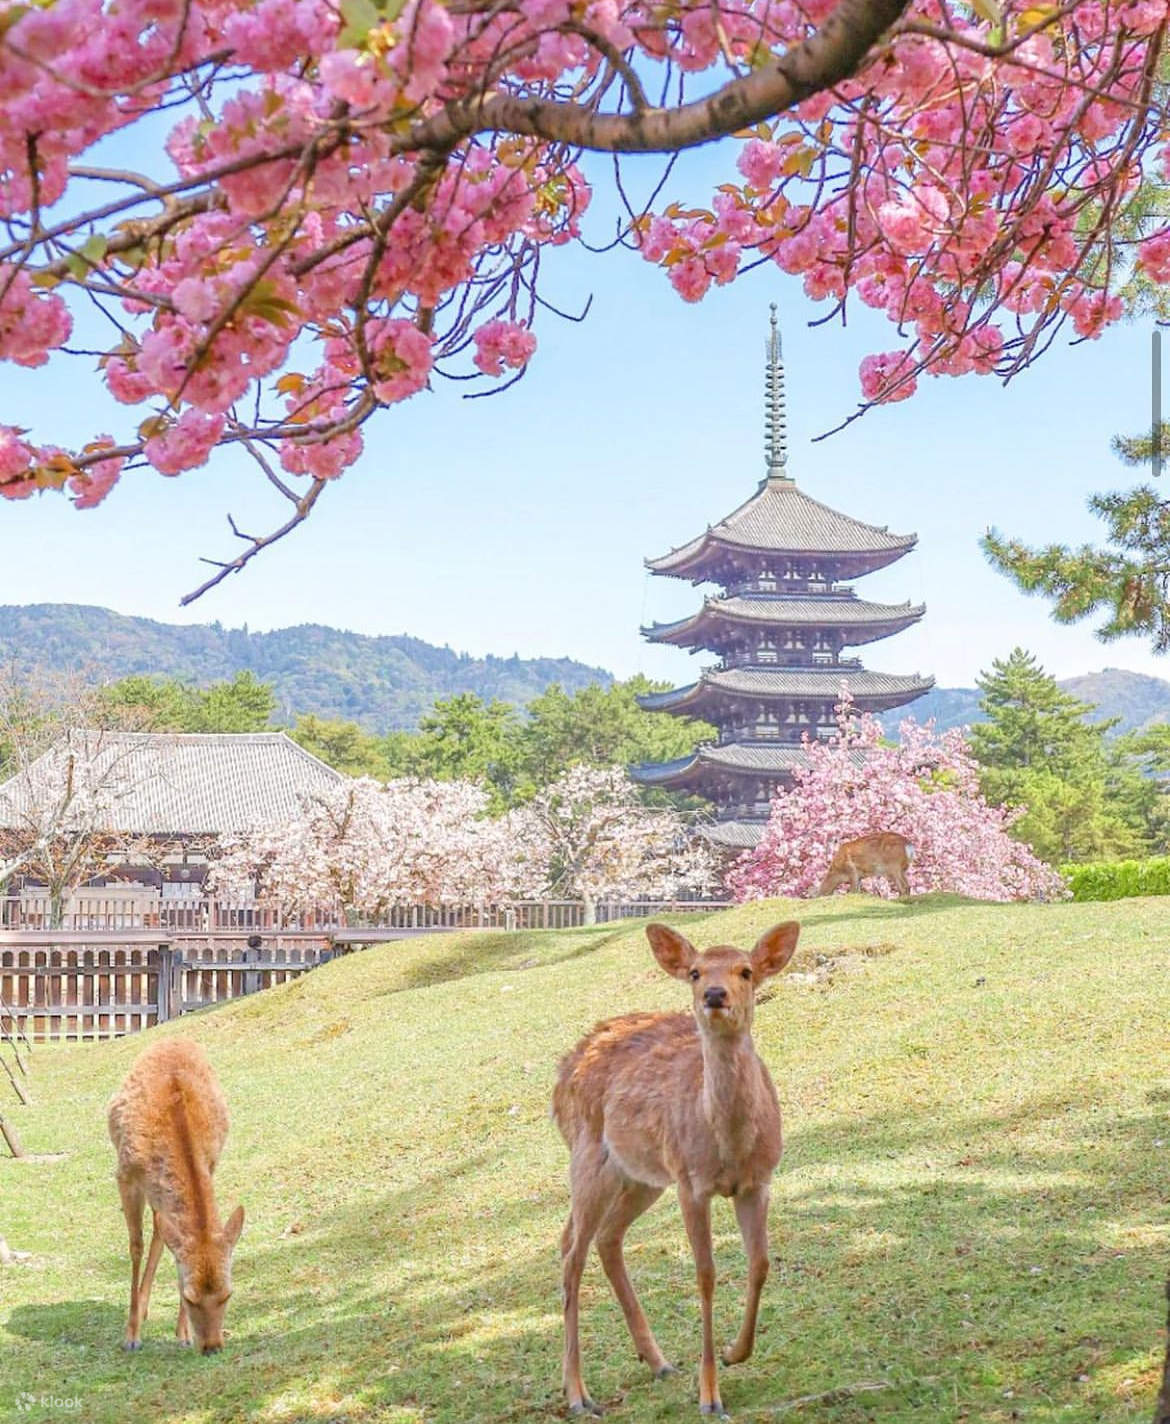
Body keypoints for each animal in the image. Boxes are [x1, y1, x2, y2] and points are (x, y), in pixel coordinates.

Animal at [107, 1038, 244, 1354]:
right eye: (190, 1296)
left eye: (227, 1294)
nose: (212, 1347)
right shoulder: (125, 1176)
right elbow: (135, 1246)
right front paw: (131, 1336)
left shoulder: (210, 1163)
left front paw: (183, 1334)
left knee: (161, 1231)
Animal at [552, 920, 800, 1418]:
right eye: (695, 972)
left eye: (746, 971)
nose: (715, 994)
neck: (729, 1146)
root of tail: (561, 1072)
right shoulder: (691, 1183)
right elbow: (705, 1274)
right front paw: (710, 1396)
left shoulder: (759, 1181)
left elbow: (760, 1262)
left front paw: (735, 1352)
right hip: (589, 1157)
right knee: (573, 1253)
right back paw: (579, 1395)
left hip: (640, 1176)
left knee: (604, 1237)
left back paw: (659, 1362)